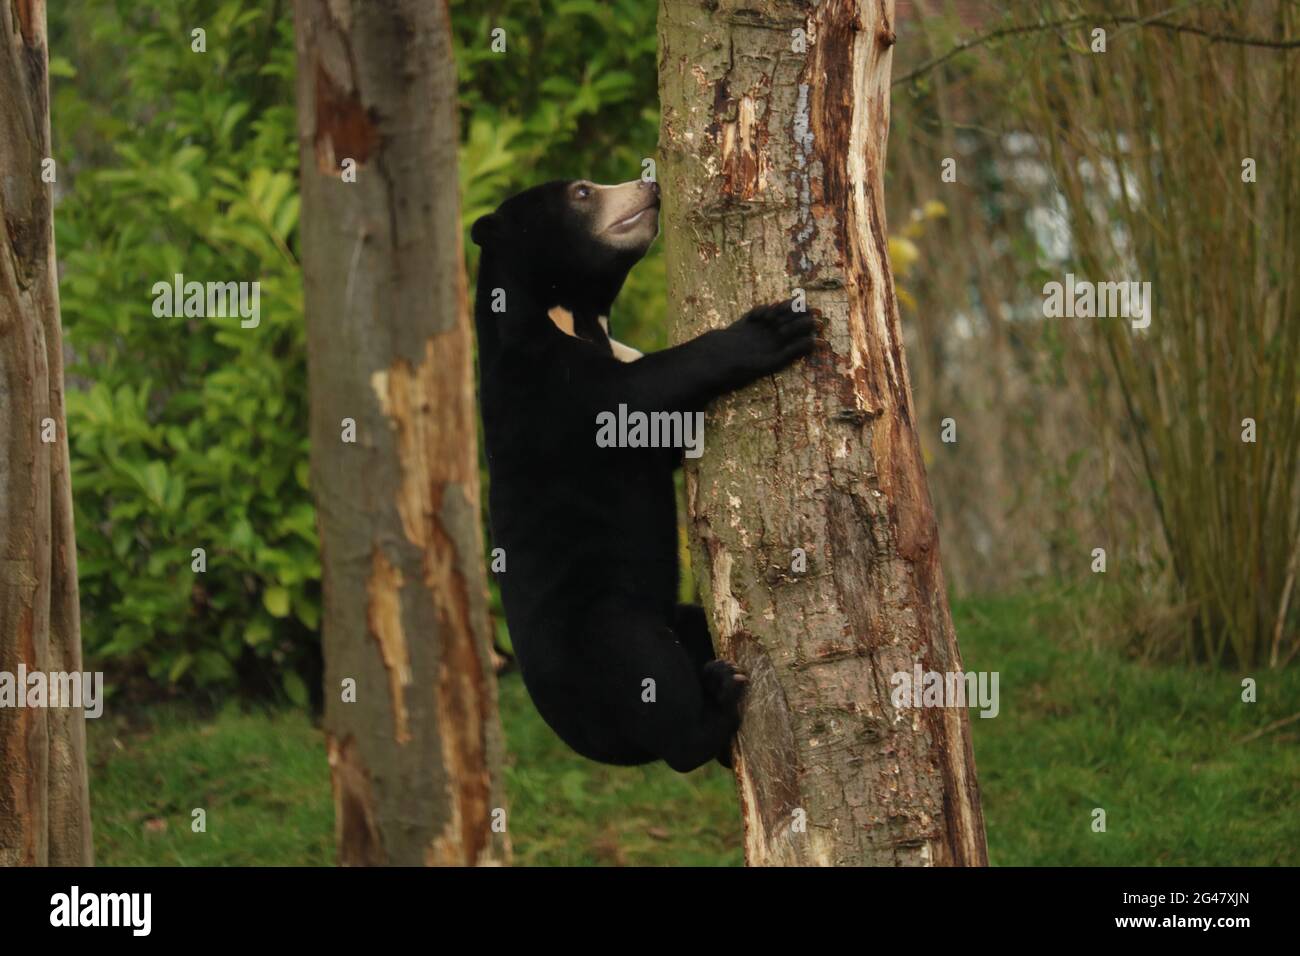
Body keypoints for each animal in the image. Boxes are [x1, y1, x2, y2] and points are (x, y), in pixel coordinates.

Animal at [471, 178, 815, 772]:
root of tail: (594, 743)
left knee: (692, 627)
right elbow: (647, 393)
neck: (575, 317)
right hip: (598, 630)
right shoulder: (550, 390)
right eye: (583, 192)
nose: (650, 184)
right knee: (647, 677)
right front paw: (775, 328)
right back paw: (719, 699)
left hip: (670, 619)